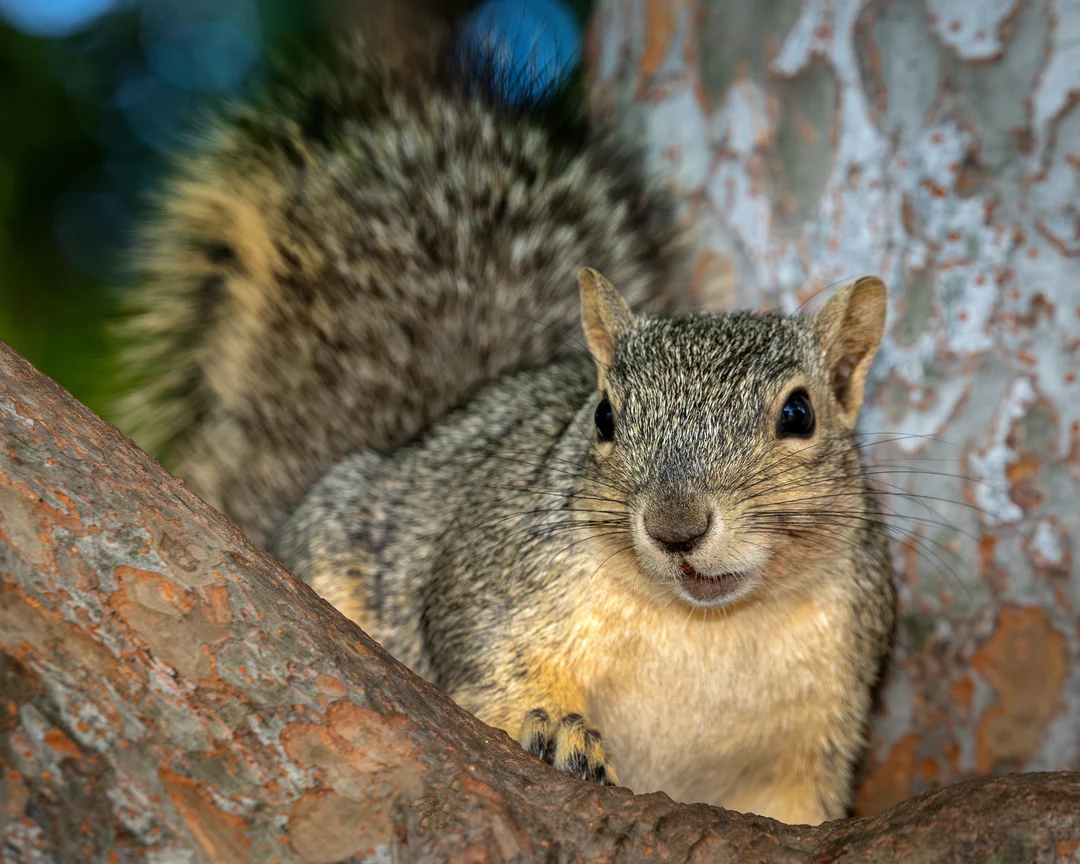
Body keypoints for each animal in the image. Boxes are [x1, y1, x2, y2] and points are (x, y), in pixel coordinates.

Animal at [113, 1, 895, 826]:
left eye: (800, 414)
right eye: (605, 417)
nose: (676, 528)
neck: (708, 625)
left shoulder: (818, 729)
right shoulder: (491, 586)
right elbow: (492, 669)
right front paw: (552, 725)